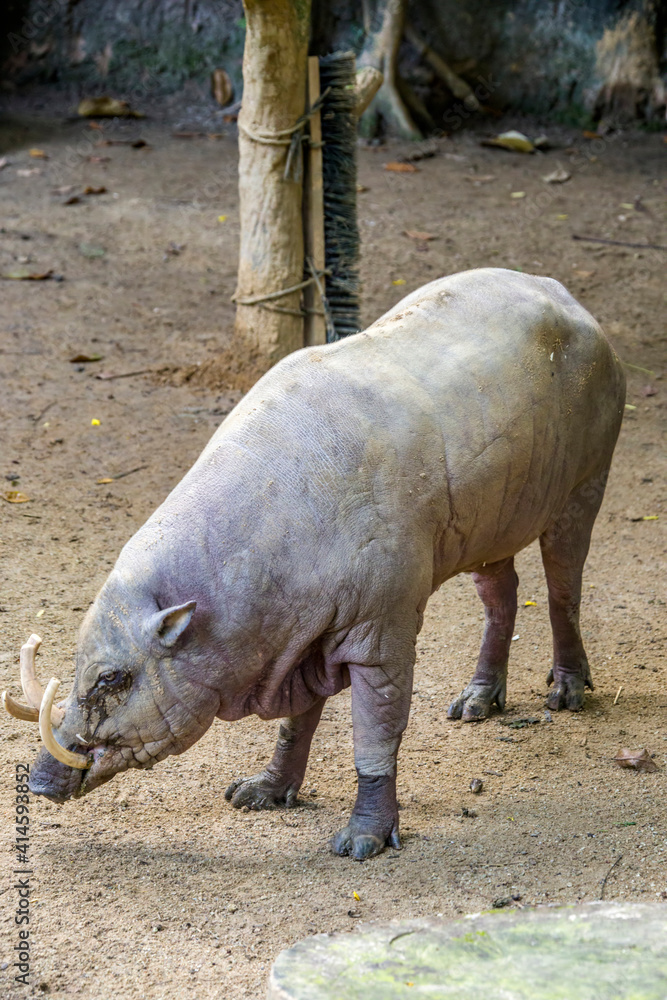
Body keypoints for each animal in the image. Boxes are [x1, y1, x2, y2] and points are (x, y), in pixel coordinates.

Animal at [22, 268, 625, 860]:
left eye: (113, 679)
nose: (40, 782)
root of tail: (567, 295)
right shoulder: (297, 639)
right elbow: (297, 721)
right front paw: (265, 791)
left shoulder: (383, 632)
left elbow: (376, 737)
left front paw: (365, 838)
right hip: (490, 521)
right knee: (503, 595)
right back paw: (478, 698)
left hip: (584, 485)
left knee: (562, 589)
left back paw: (568, 688)